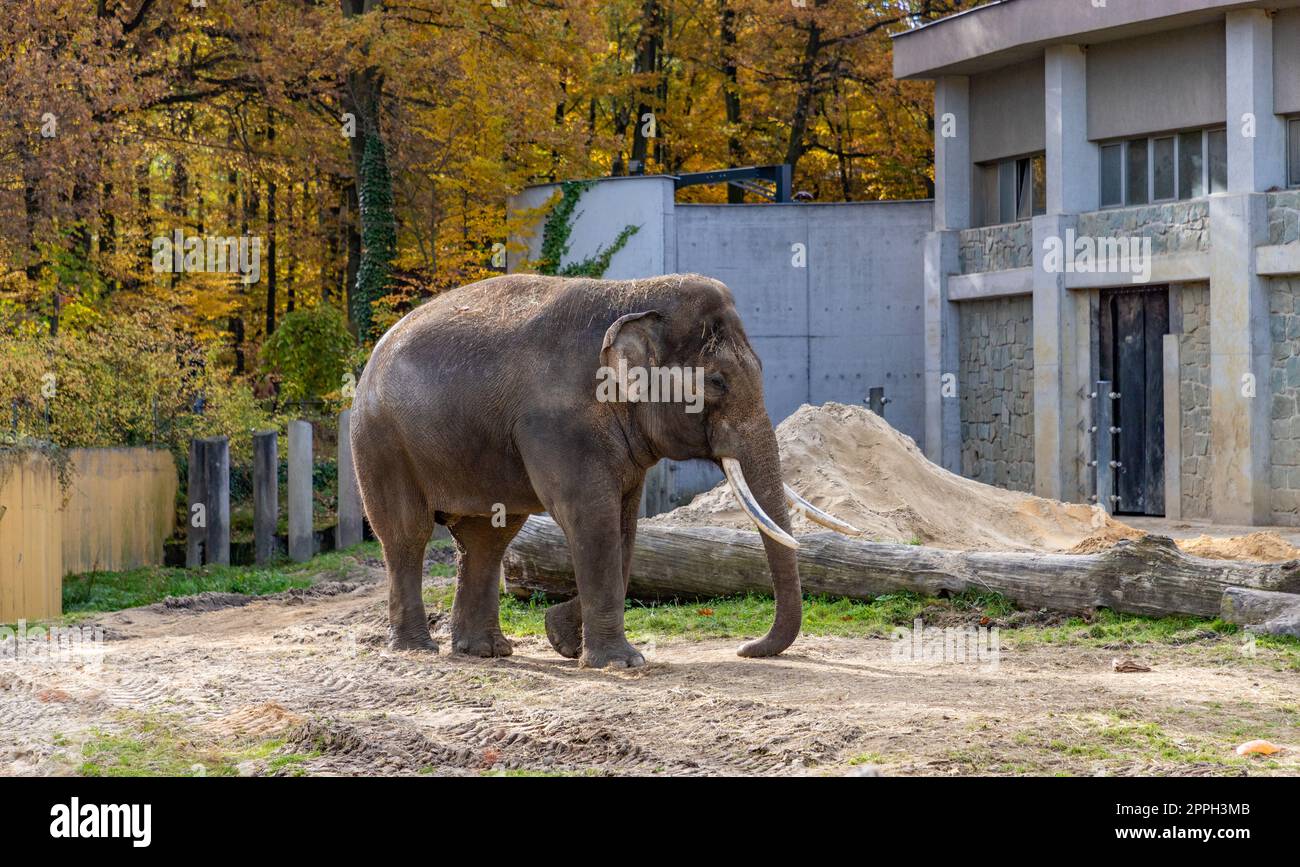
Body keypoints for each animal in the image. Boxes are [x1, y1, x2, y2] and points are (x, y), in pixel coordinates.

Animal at [350, 273, 860, 669]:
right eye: (717, 382)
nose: (745, 648)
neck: (635, 296)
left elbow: (624, 524)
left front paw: (563, 639)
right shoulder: (558, 425)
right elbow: (589, 516)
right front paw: (620, 663)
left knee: (487, 538)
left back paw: (488, 652)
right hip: (381, 444)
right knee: (407, 534)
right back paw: (417, 650)